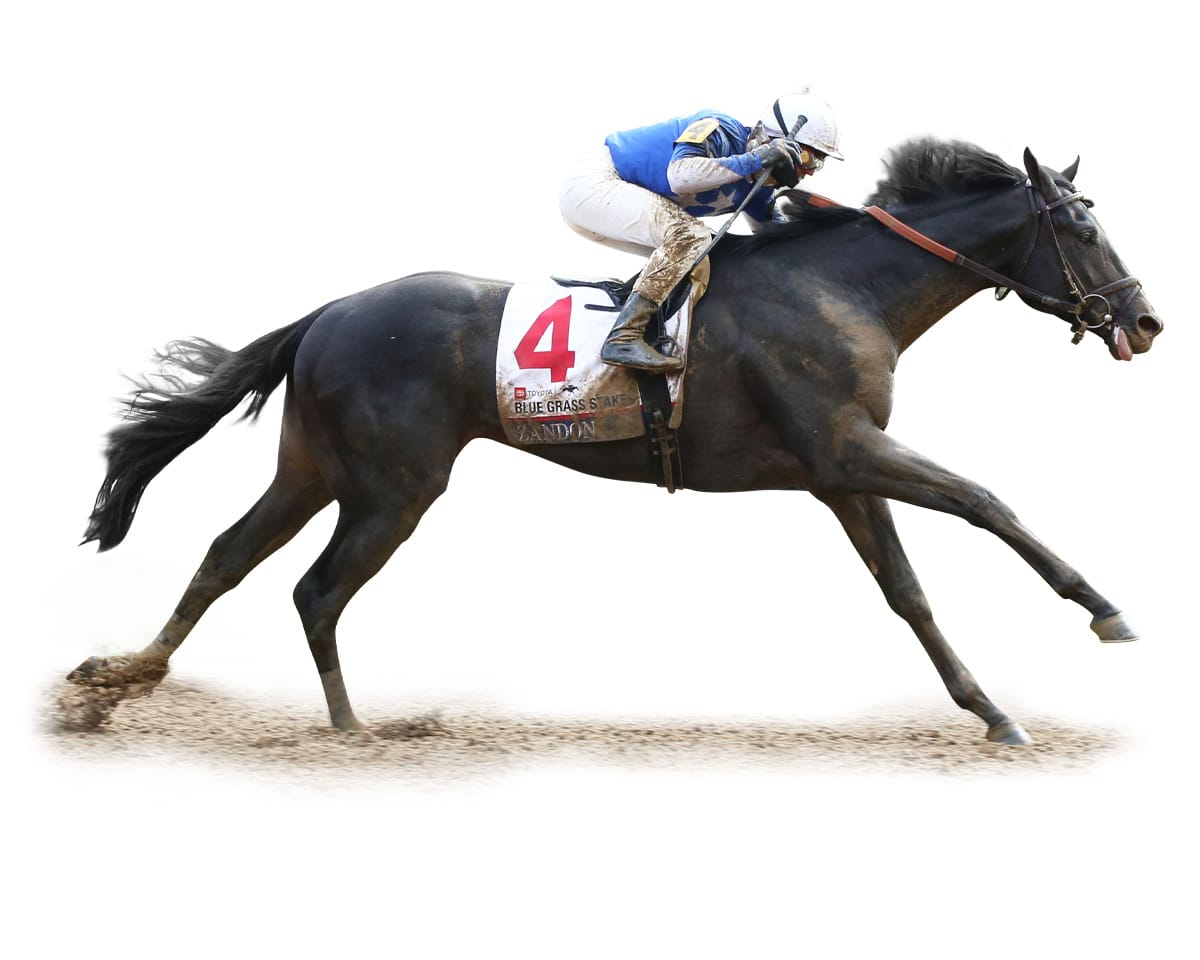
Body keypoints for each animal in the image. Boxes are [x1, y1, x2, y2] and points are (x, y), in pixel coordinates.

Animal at [65, 139, 1162, 745]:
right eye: (1082, 227)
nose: (1145, 321)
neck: (841, 289)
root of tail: (327, 312)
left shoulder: (839, 472)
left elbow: (909, 593)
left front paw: (993, 711)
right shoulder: (845, 451)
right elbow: (987, 502)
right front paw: (1106, 611)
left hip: (317, 466)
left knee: (231, 557)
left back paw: (119, 686)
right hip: (392, 485)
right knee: (313, 588)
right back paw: (338, 730)